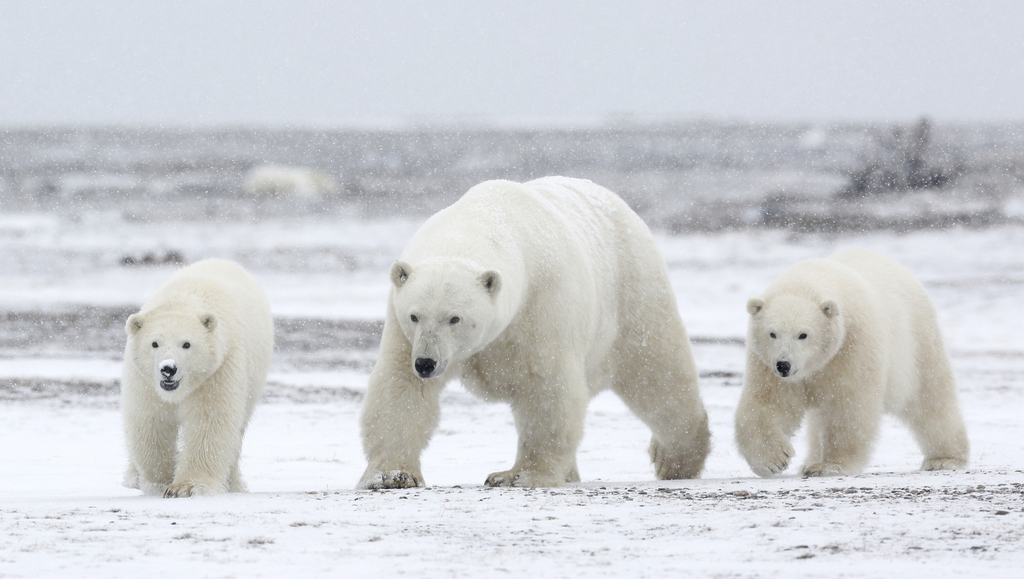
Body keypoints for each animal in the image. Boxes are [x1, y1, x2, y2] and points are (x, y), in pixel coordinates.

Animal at [121, 259, 274, 497]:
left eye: (187, 344)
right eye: (154, 343)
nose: (168, 369)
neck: (183, 299)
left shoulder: (218, 369)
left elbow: (209, 420)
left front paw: (187, 487)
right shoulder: (144, 380)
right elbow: (151, 419)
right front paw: (159, 482)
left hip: (253, 376)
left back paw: (233, 484)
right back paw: (133, 477)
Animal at [357, 176, 710, 489]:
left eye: (455, 318)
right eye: (415, 315)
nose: (427, 363)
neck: (482, 221)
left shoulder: (542, 304)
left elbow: (547, 386)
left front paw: (516, 476)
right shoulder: (403, 331)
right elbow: (401, 387)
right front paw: (391, 476)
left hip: (632, 293)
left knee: (658, 375)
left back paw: (675, 459)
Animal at [735, 249, 969, 478]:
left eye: (803, 334)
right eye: (772, 333)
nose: (784, 365)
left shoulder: (852, 347)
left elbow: (848, 406)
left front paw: (831, 465)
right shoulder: (767, 365)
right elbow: (767, 403)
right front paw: (774, 460)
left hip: (917, 342)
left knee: (930, 398)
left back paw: (944, 459)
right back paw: (810, 461)